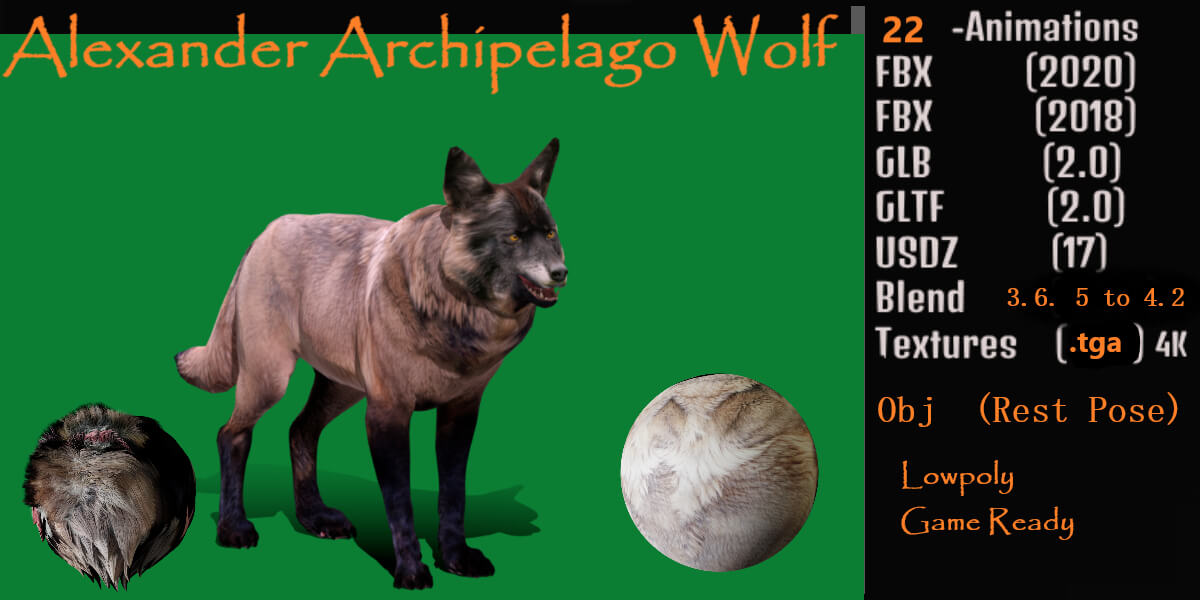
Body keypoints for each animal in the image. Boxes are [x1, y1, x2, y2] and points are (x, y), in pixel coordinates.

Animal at [175, 139, 566, 589]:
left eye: (550, 233)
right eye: (513, 236)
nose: (561, 272)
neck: (454, 314)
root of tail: (262, 235)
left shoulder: (460, 413)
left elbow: (454, 495)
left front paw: (455, 559)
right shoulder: (387, 414)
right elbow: (400, 503)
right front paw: (411, 571)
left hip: (341, 389)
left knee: (300, 431)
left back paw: (314, 518)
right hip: (270, 380)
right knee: (231, 435)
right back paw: (233, 529)